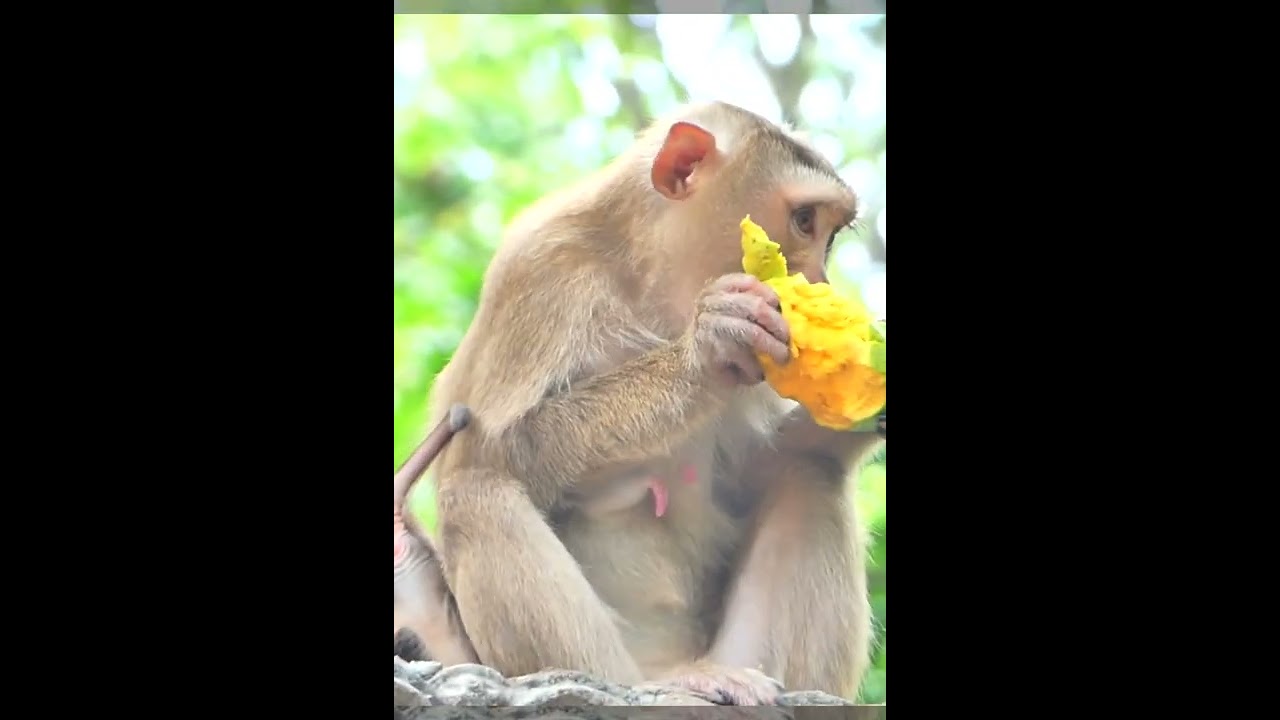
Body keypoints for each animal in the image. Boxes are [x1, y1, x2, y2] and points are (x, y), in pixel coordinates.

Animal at [418, 101, 884, 704]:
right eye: (805, 221)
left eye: (829, 234)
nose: (822, 283)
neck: (654, 290)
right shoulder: (539, 272)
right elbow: (481, 449)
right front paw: (705, 353)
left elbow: (764, 468)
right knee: (475, 493)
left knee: (812, 470)